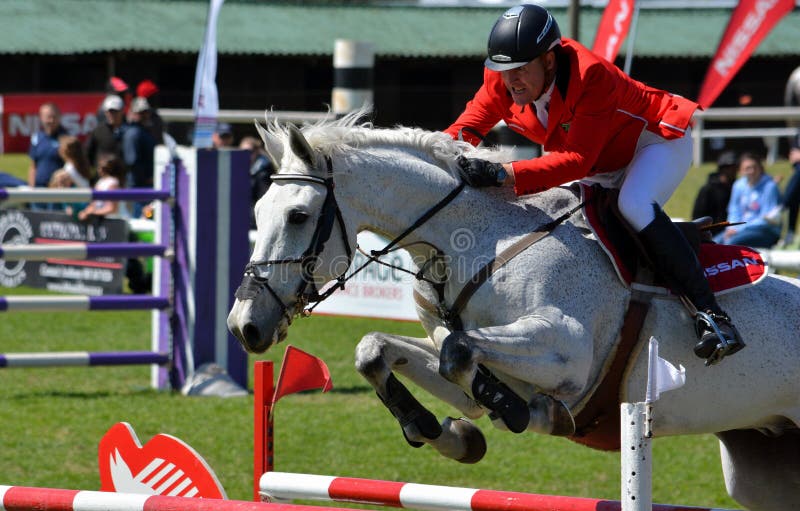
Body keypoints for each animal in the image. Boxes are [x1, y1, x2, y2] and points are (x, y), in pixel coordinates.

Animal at [227, 110, 800, 511]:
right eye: (254, 211)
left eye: (298, 216)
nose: (244, 326)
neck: (471, 240)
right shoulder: (464, 363)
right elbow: (381, 349)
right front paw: (447, 434)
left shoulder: (567, 354)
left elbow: (461, 353)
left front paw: (528, 413)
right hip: (760, 468)